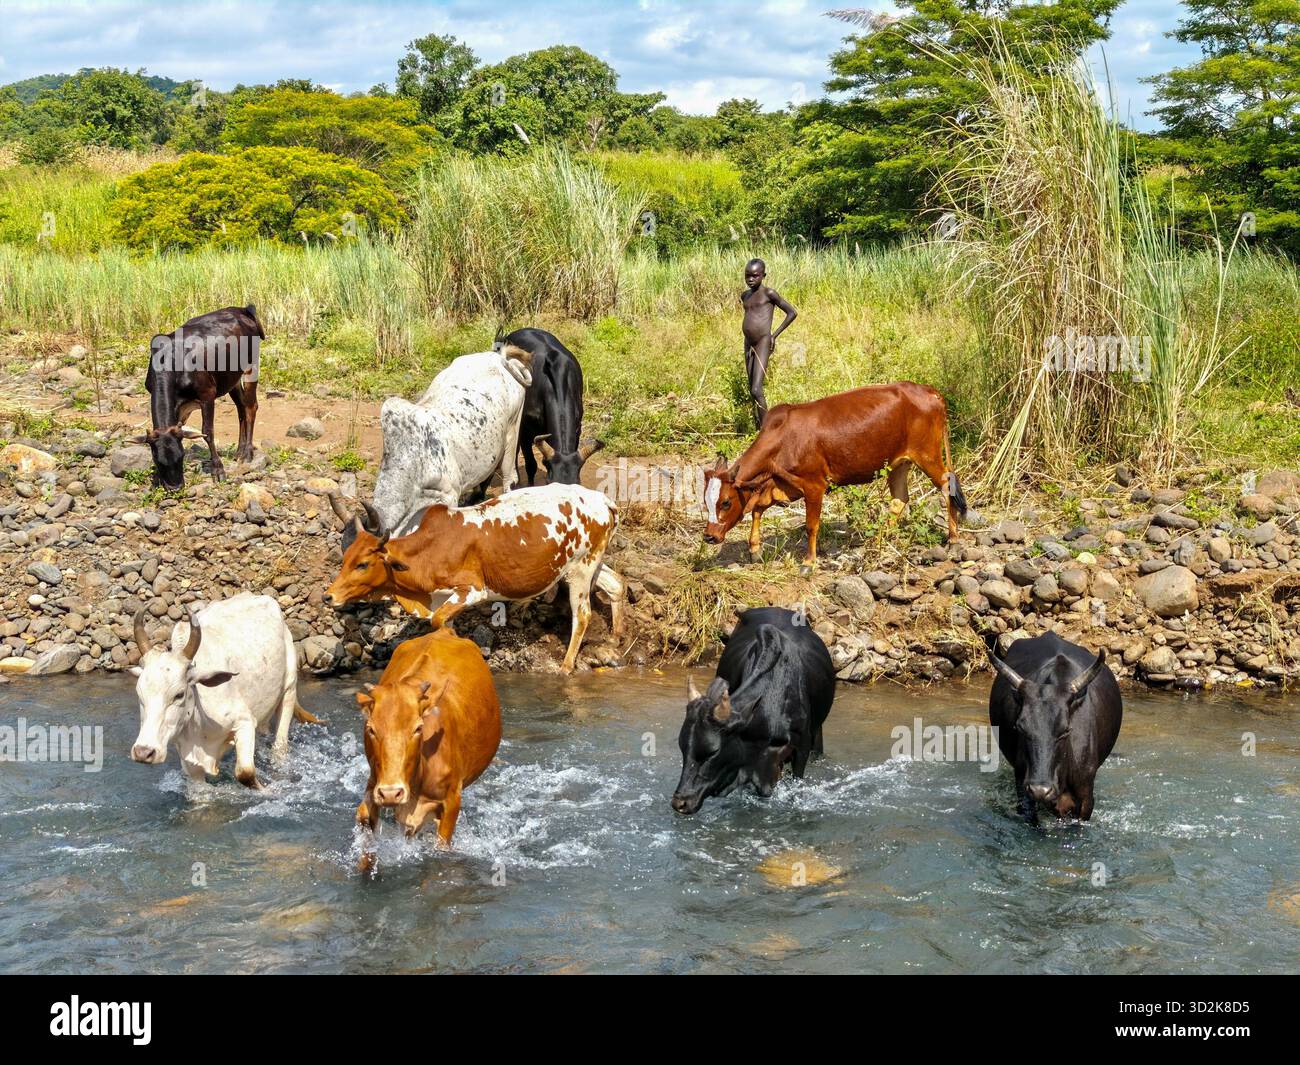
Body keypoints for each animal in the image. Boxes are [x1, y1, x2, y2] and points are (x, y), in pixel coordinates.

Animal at [129, 593, 317, 788]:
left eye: (179, 694)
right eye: (139, 694)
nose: (144, 752)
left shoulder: (244, 722)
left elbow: (245, 773)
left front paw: (267, 790)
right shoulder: (191, 766)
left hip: (289, 689)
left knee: (280, 746)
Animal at [134, 305, 263, 490]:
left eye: (181, 456)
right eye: (157, 460)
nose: (175, 487)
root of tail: (243, 309)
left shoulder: (207, 395)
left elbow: (207, 432)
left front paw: (218, 470)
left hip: (251, 367)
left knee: (251, 407)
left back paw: (247, 454)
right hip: (232, 378)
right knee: (241, 408)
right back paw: (239, 451)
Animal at [326, 484, 625, 674]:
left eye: (363, 564)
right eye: (345, 558)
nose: (328, 596)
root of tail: (602, 500)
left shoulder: (472, 589)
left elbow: (438, 620)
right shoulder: (444, 599)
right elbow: (443, 623)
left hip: (580, 570)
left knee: (582, 615)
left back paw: (565, 667)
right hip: (590, 564)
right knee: (617, 584)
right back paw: (615, 638)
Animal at [354, 629, 501, 873]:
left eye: (418, 728)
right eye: (371, 729)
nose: (391, 793)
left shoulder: (451, 801)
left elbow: (442, 846)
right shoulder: (375, 783)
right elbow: (365, 820)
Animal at [701, 381, 967, 566]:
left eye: (726, 502)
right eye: (706, 503)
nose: (709, 537)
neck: (782, 439)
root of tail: (929, 391)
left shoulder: (814, 486)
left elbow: (811, 525)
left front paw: (809, 562)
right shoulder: (783, 485)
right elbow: (757, 508)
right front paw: (754, 550)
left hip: (928, 455)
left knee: (947, 487)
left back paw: (953, 538)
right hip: (898, 463)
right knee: (899, 500)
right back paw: (880, 539)